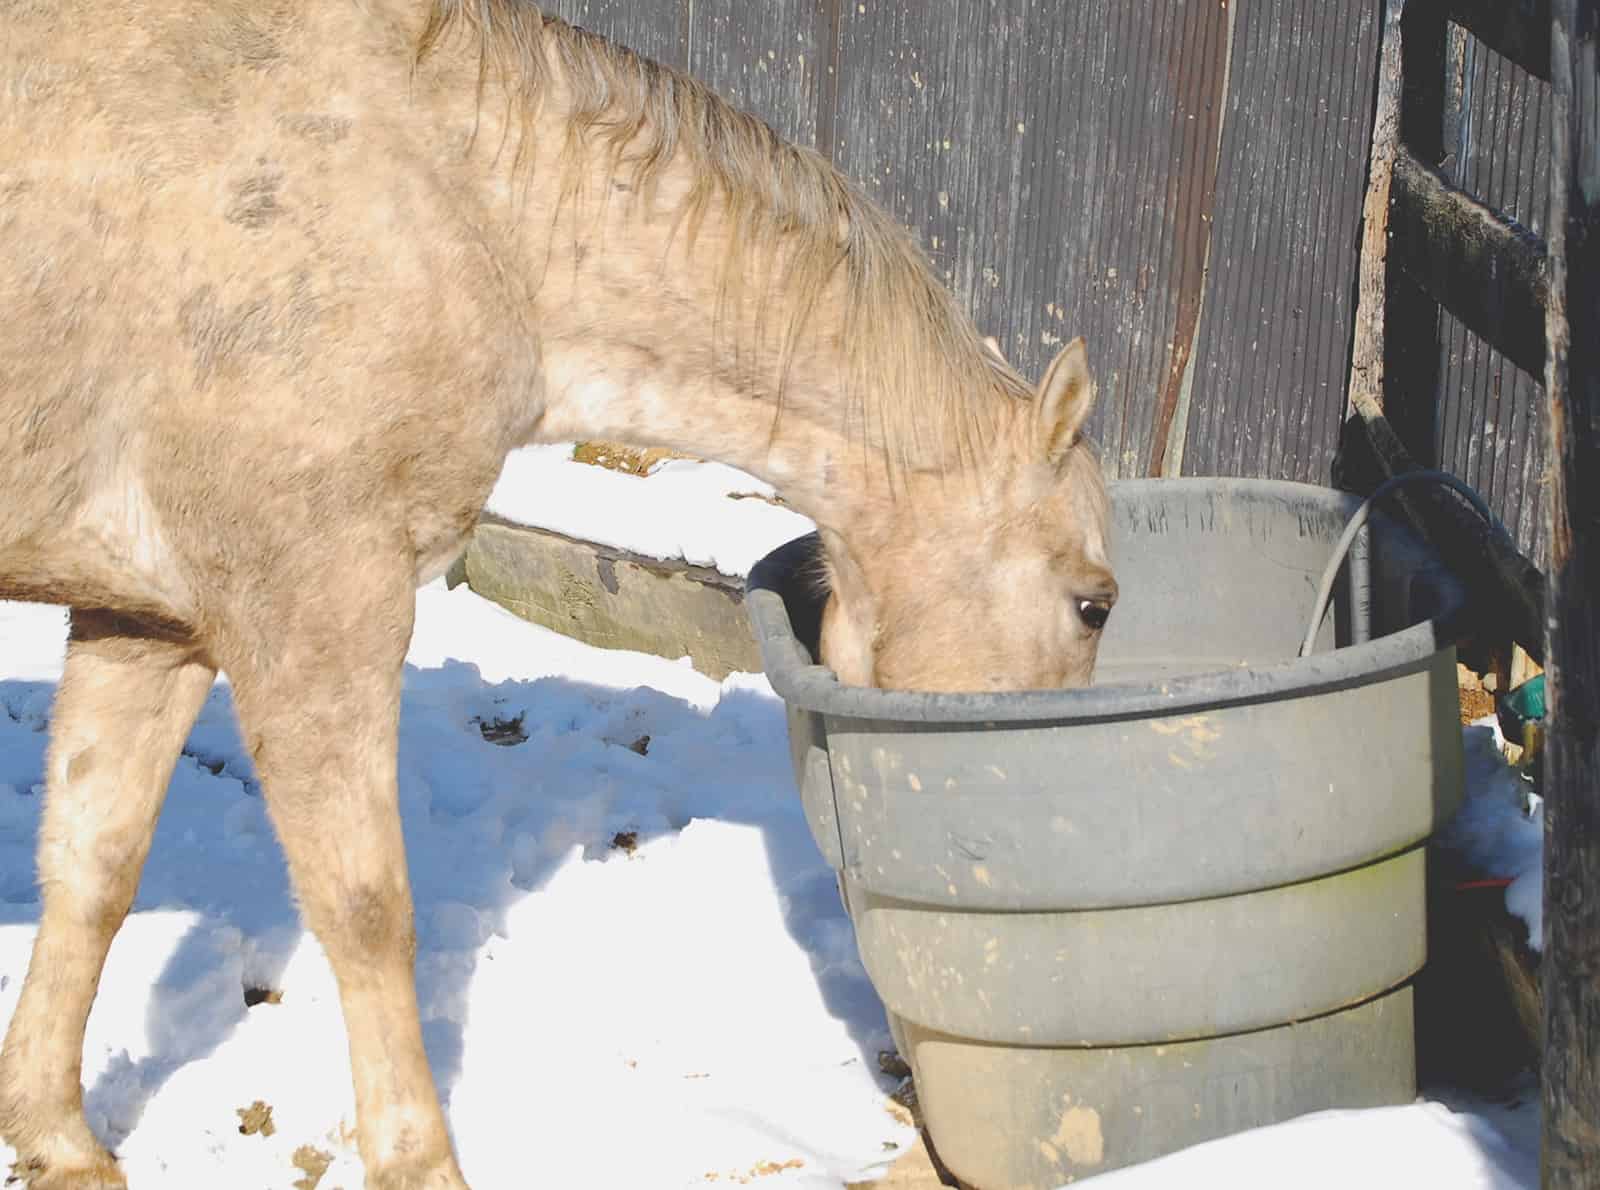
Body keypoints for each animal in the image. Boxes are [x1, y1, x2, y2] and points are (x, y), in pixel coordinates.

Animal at [0, 3, 1116, 1185]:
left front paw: (57, 1134)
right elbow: (367, 908)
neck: (458, 201)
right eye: (1093, 602)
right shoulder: (315, 610)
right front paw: (419, 1160)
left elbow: (92, 871)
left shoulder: (147, 618)